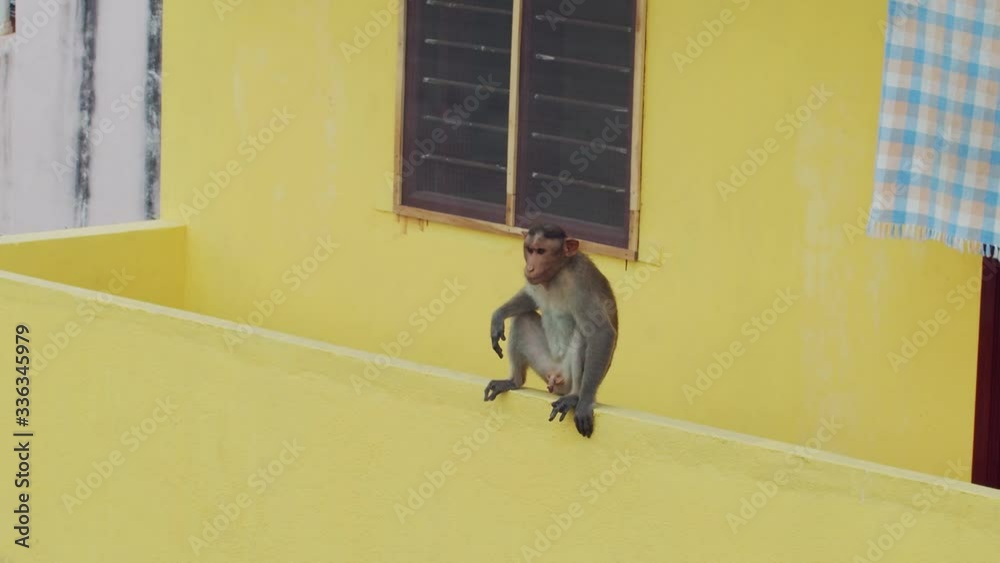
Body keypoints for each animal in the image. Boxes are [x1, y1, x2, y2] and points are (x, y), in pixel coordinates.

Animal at [483, 224, 619, 438]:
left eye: (541, 251)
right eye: (530, 250)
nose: (530, 267)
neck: (557, 273)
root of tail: (556, 376)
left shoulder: (580, 283)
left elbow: (601, 332)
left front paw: (585, 402)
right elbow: (530, 298)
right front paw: (498, 315)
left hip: (567, 378)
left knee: (584, 332)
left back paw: (575, 396)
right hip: (546, 365)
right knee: (522, 318)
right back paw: (514, 381)